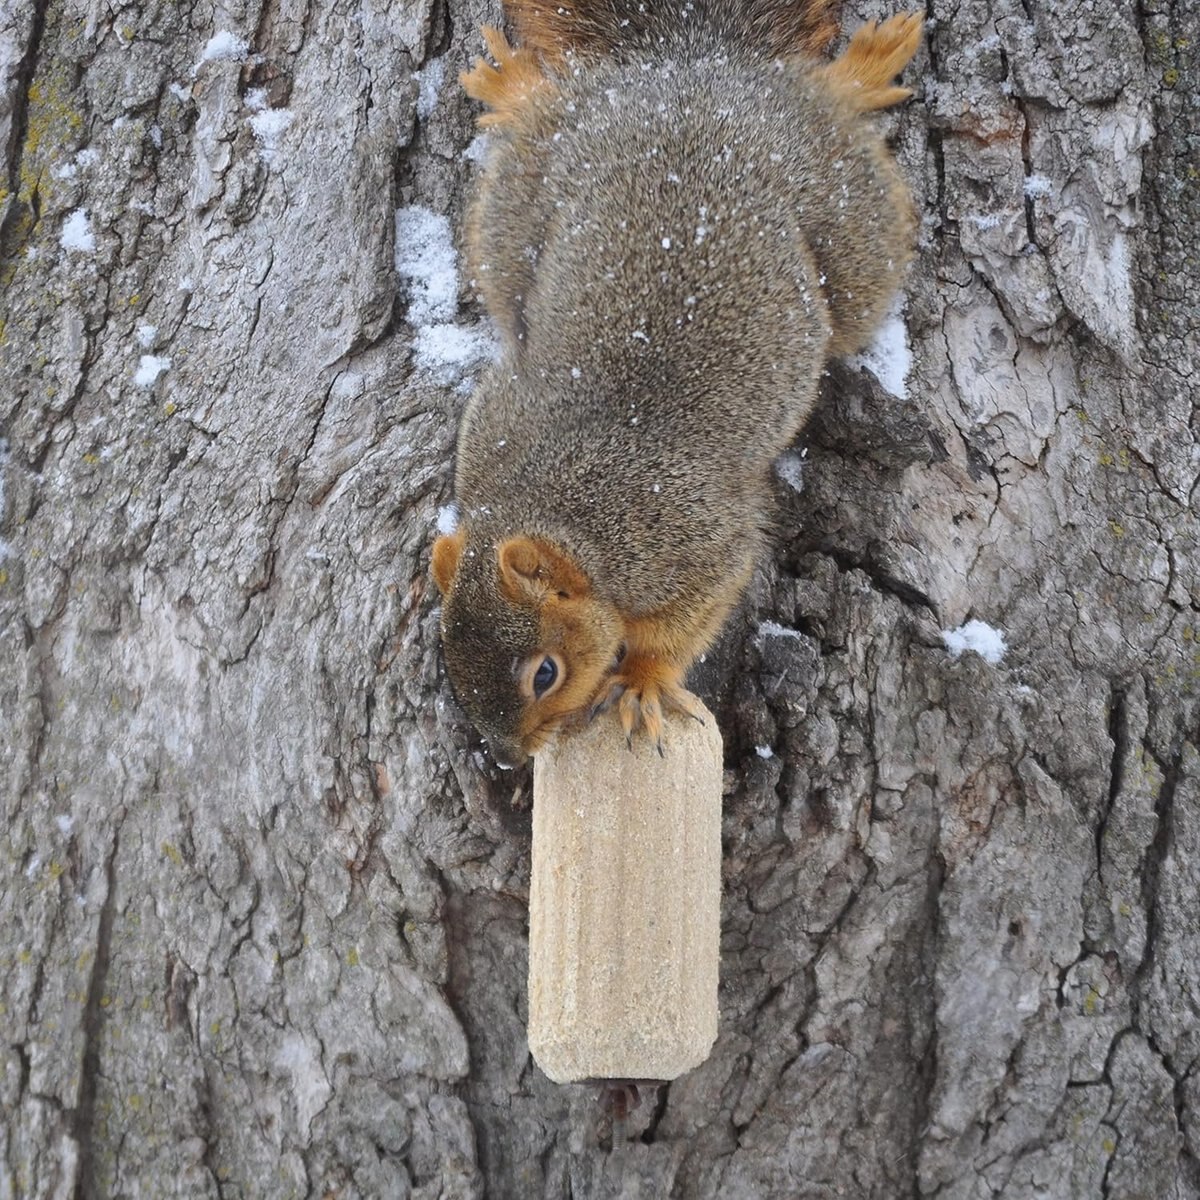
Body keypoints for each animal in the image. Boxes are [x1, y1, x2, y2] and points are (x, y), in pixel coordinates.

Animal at [430, 0, 922, 765]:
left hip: (847, 217)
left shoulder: (692, 541)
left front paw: (643, 681)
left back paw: (862, 72)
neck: (553, 499)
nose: (509, 757)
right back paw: (513, 85)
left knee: (840, 134)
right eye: (451, 659)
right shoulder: (489, 425)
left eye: (545, 672)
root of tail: (689, 70)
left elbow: (688, 620)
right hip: (519, 201)